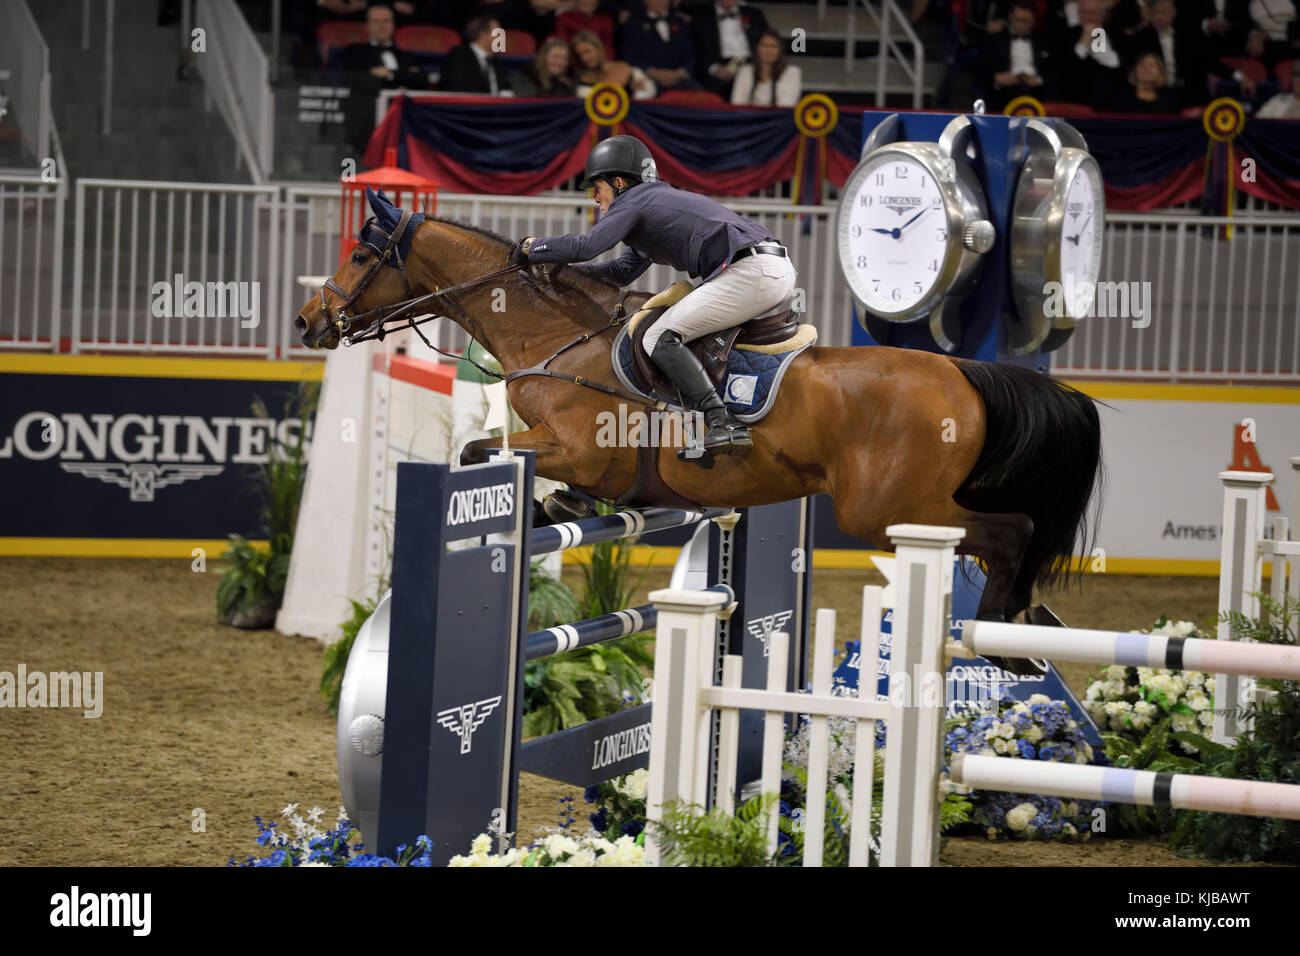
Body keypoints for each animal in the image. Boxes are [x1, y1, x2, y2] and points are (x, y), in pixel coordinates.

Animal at [299, 202, 1102, 660]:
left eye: (363, 254)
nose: (309, 323)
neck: (558, 335)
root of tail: (965, 374)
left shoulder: (582, 452)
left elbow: (480, 451)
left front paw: (548, 506)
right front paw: (557, 508)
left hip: (889, 511)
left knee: (1015, 530)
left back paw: (1005, 632)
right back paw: (1026, 625)